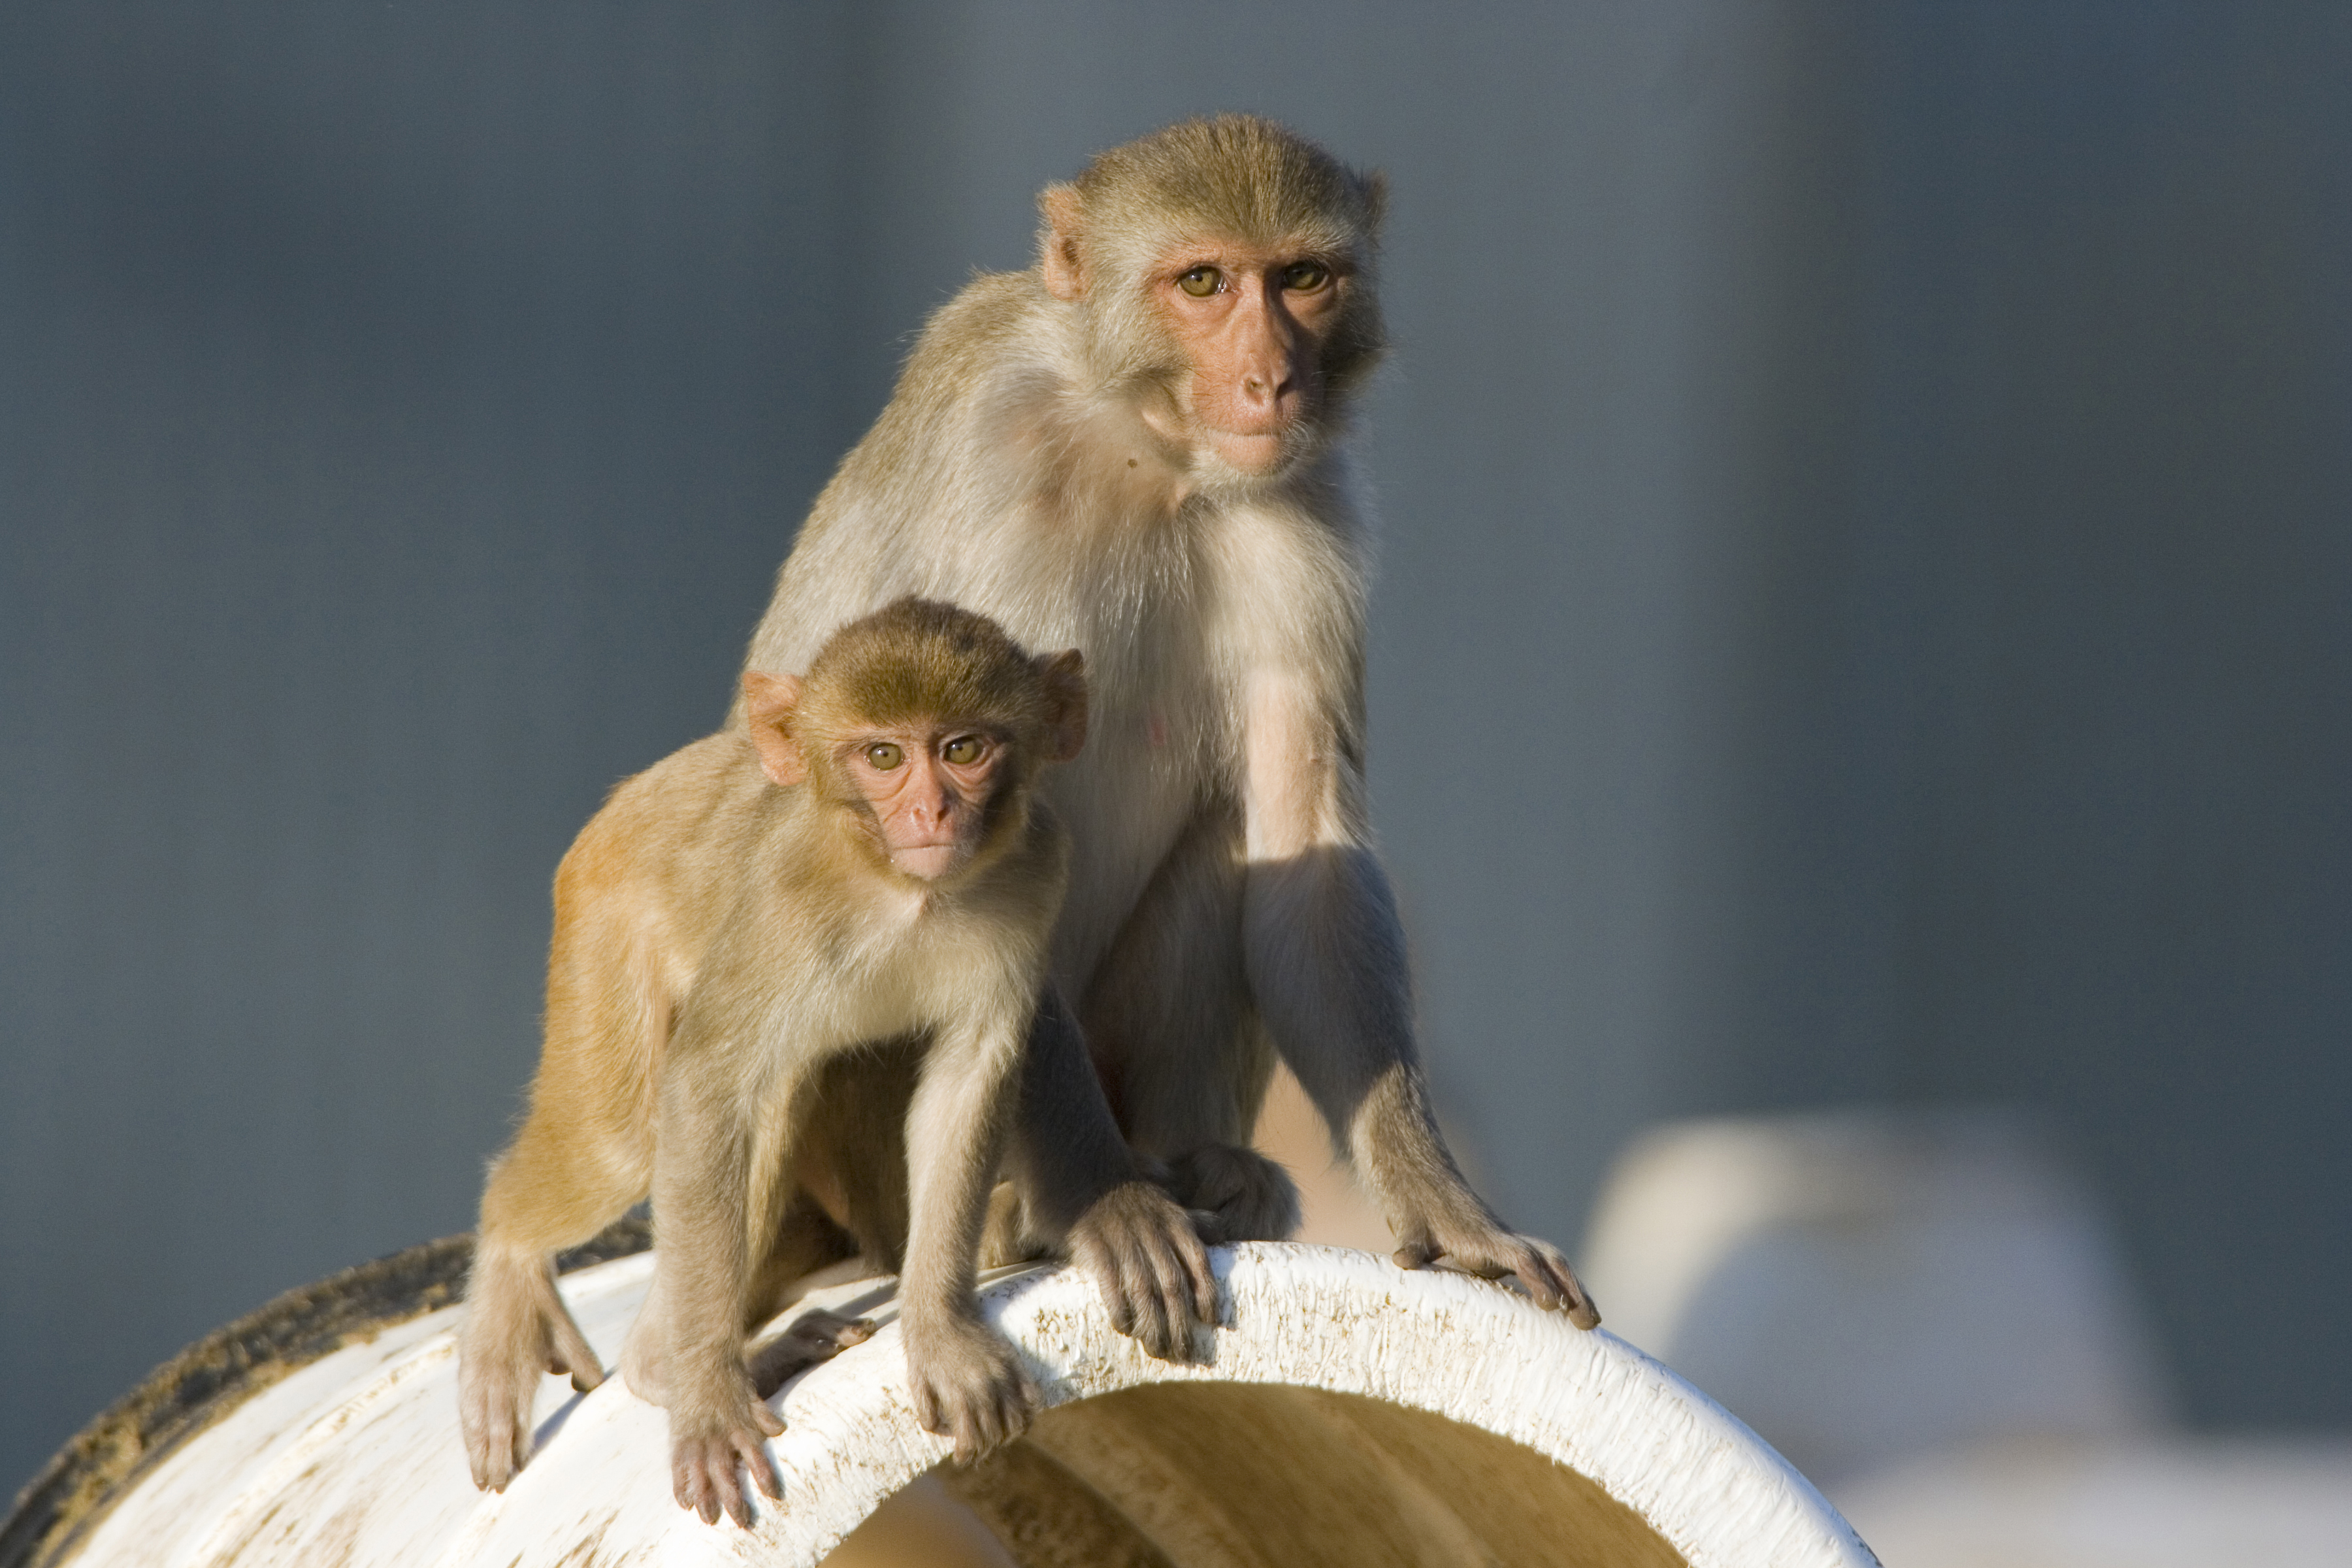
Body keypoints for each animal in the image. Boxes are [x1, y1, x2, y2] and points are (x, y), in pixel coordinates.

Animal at [459, 598, 1216, 1527]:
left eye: (962, 749)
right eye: (882, 756)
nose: (931, 814)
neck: (902, 890)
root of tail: (635, 795)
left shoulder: (1036, 875)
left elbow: (968, 1078)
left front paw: (940, 1331)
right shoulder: (780, 908)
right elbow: (708, 1085)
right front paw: (707, 1403)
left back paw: (682, 1357)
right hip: (604, 933)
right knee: (631, 1138)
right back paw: (567, 1315)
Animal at [738, 116, 1599, 1328]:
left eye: (1302, 278)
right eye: (1202, 282)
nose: (1271, 378)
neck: (1149, 453)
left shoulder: (1309, 511)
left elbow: (1306, 844)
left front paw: (1446, 1204)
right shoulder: (994, 467)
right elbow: (984, 853)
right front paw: (1107, 1204)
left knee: (1237, 837)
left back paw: (1202, 1164)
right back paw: (1029, 1210)